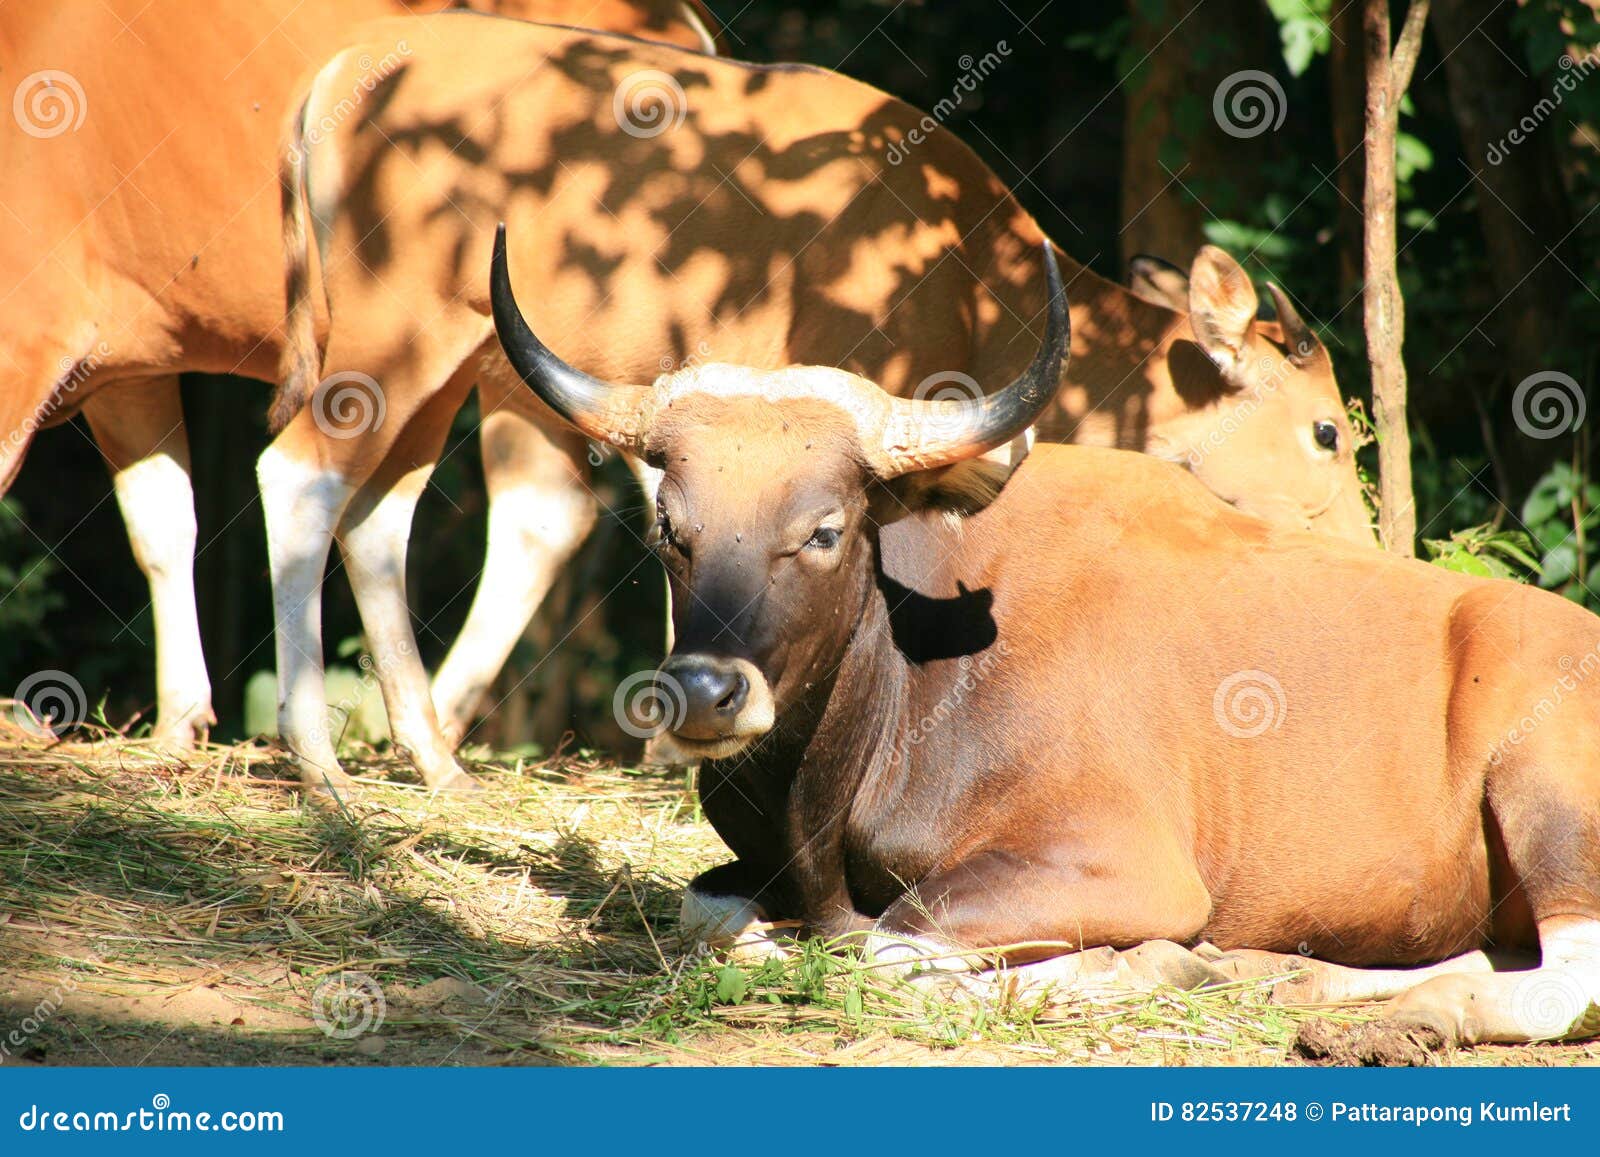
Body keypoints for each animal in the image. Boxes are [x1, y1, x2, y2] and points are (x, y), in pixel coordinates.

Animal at [264, 15, 1376, 794]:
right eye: (1326, 430)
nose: (1373, 547)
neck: (971, 270)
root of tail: (347, 69)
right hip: (390, 338)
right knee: (298, 476)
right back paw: (319, 763)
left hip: (451, 360)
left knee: (379, 519)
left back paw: (434, 759)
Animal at [491, 224, 1600, 1050]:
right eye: (670, 528)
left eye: (824, 528)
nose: (705, 693)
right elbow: (714, 916)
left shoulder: (1124, 863)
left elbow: (891, 943)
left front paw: (1141, 962)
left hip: (1548, 798)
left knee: (1565, 982)